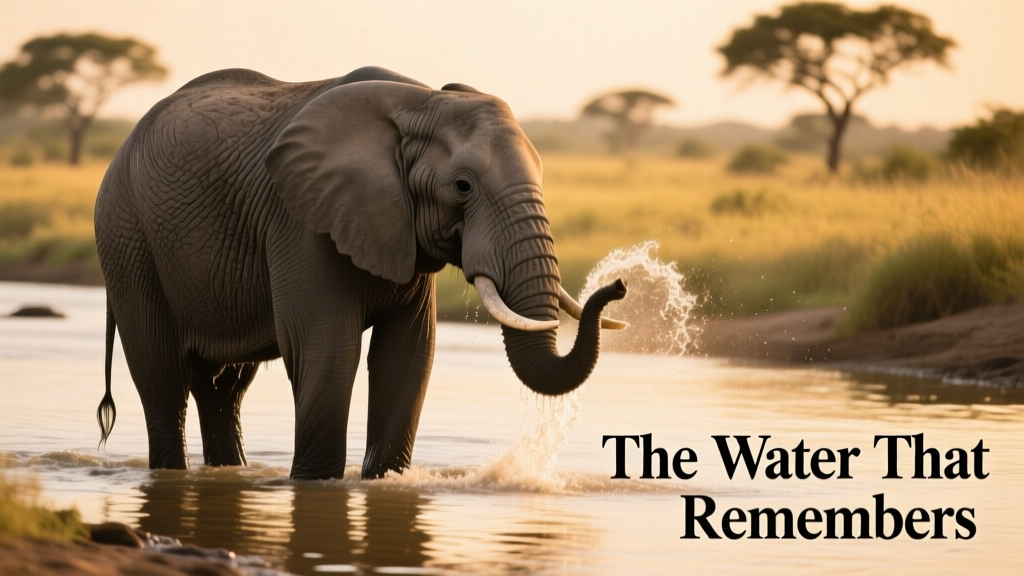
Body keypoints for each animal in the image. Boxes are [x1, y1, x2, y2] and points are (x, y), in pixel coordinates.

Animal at [93, 66, 627, 480]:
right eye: (463, 186)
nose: (618, 285)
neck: (420, 100)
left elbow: (409, 356)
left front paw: (382, 481)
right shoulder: (302, 222)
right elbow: (328, 349)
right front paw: (315, 485)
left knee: (223, 389)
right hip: (126, 238)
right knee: (162, 377)